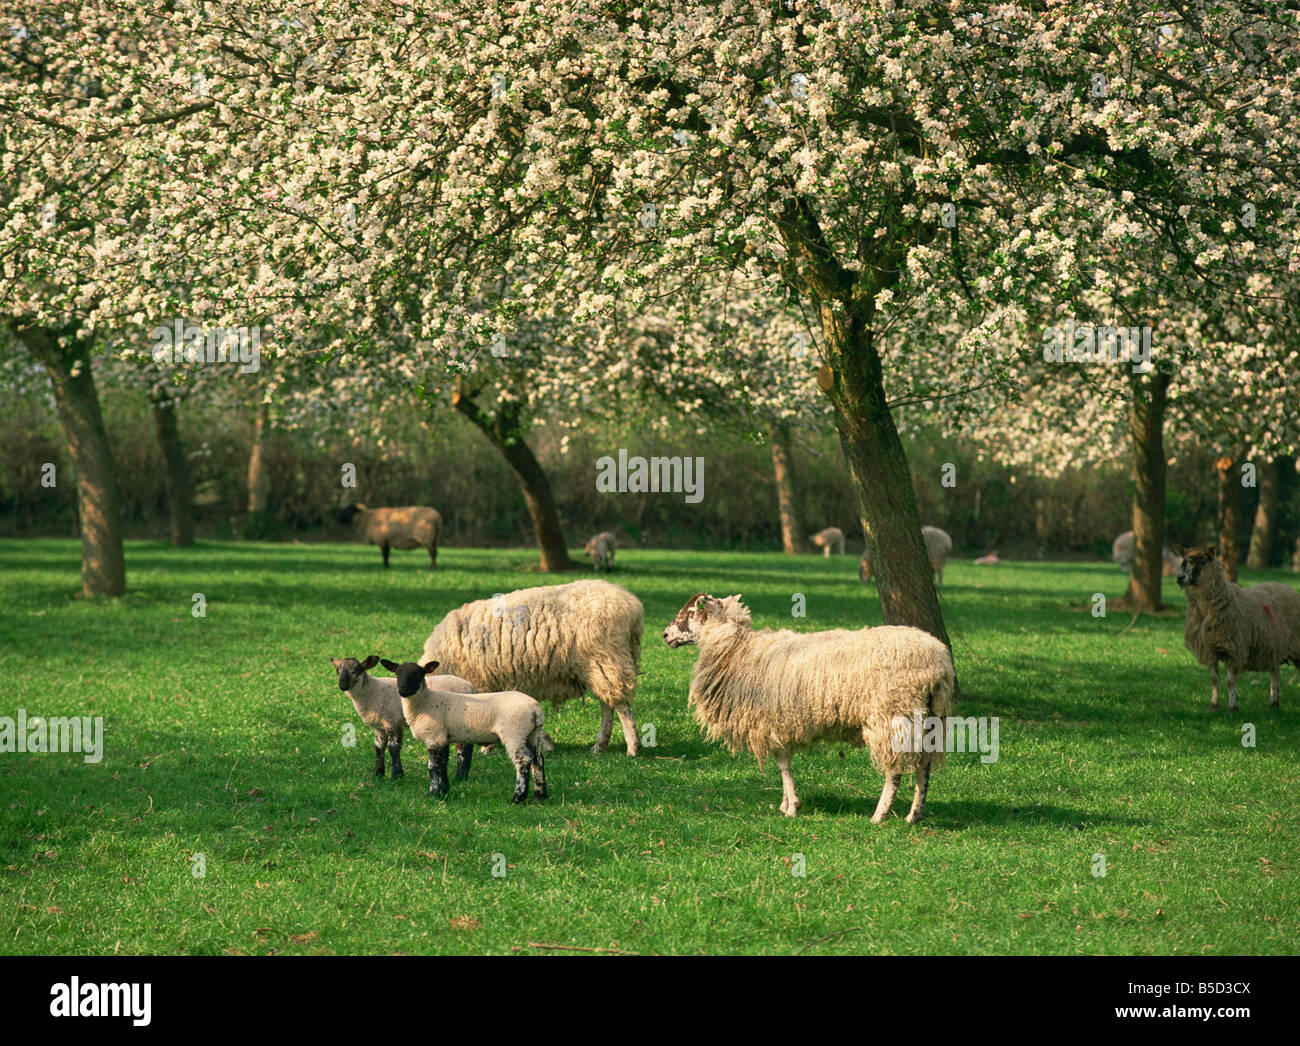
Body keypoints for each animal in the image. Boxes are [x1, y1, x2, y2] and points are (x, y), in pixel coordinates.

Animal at [330, 655, 479, 779]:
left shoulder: (392, 721)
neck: (372, 691)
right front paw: (378, 774)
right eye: (338, 670)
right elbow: (378, 748)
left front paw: (397, 775)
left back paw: (460, 777)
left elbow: (393, 748)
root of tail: (471, 688)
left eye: (356, 670)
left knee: (463, 747)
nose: (342, 684)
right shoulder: (379, 727)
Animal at [380, 659, 547, 803]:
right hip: (531, 735)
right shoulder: (443, 738)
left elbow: (433, 766)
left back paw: (518, 798)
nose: (402, 690)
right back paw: (540, 795)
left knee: (524, 760)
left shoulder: (434, 736)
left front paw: (433, 793)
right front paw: (444, 789)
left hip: (514, 733)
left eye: (417, 674)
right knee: (538, 760)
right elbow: (443, 763)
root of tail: (536, 711)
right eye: (397, 673)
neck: (425, 703)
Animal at [421, 579, 643, 755]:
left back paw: (632, 746)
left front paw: (488, 746)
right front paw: (544, 741)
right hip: (601, 665)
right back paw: (601, 745)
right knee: (608, 704)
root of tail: (632, 606)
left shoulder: (482, 683)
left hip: (605, 658)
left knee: (620, 705)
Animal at [663, 593, 955, 823]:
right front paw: (785, 804)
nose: (665, 634)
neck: (737, 650)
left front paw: (791, 806)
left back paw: (879, 815)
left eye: (691, 613)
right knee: (924, 765)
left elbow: (783, 765)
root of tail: (939, 665)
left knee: (895, 769)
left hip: (892, 714)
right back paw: (914, 815)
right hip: (929, 718)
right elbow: (783, 764)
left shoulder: (772, 722)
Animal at [1174, 545, 1300, 713]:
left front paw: (1232, 708)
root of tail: (1285, 586)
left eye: (1202, 560)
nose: (1179, 577)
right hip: (1273, 646)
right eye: (1183, 560)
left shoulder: (1232, 650)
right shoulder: (1210, 649)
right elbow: (1214, 679)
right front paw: (1214, 705)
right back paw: (1273, 703)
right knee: (1275, 673)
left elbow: (1230, 681)